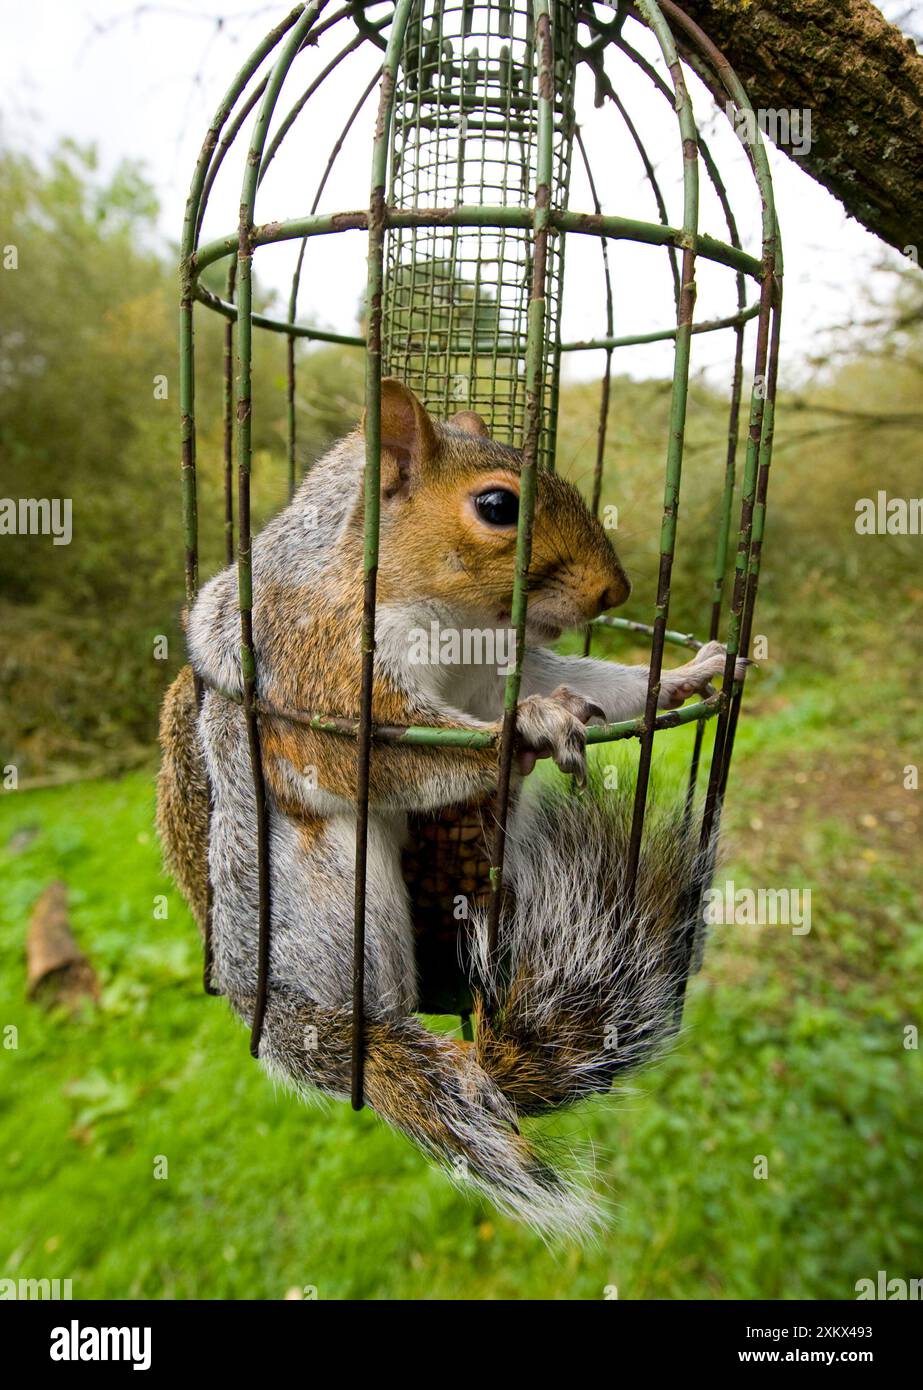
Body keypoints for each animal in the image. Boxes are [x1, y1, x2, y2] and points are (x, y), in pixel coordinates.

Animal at [157, 378, 746, 1237]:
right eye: (498, 506)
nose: (617, 592)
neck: (455, 622)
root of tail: (264, 1001)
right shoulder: (323, 666)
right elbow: (385, 752)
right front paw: (528, 725)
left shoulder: (509, 662)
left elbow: (592, 684)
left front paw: (683, 675)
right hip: (329, 901)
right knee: (387, 1007)